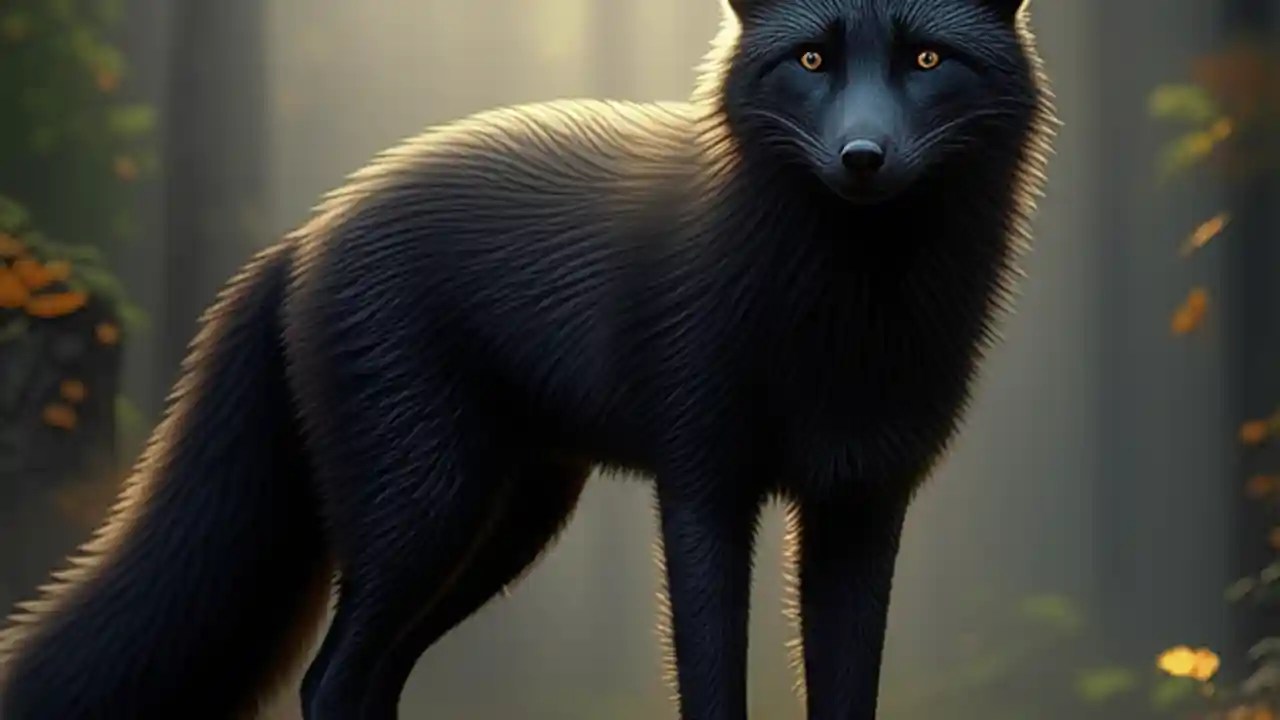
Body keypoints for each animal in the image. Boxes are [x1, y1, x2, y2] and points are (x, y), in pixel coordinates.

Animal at [0, 0, 1054, 718]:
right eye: (810, 58)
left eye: (926, 57)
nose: (862, 157)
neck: (850, 313)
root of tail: (304, 234)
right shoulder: (704, 484)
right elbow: (712, 681)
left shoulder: (863, 502)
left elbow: (846, 690)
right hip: (426, 511)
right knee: (332, 675)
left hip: (508, 525)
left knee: (375, 675)